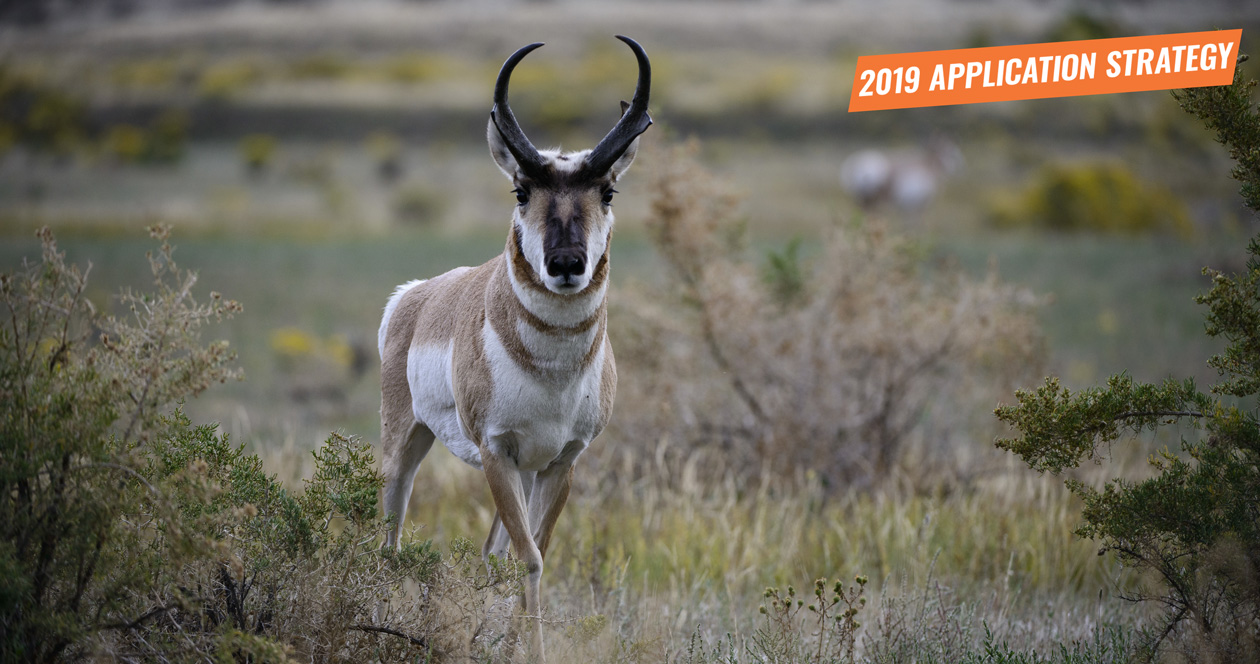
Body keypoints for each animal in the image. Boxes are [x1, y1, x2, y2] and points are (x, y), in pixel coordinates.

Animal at [377, 36, 651, 660]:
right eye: (521, 190)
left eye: (608, 190)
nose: (566, 263)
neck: (551, 370)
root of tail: (414, 297)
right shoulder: (497, 454)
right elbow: (528, 560)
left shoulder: (560, 462)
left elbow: (530, 554)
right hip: (406, 444)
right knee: (389, 537)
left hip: (522, 472)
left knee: (491, 551)